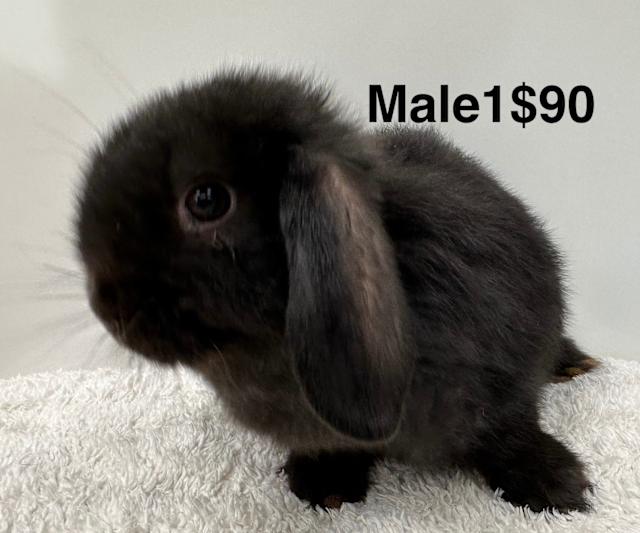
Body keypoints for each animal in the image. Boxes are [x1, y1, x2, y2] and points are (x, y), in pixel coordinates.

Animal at [75, 68, 598, 512]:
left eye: (207, 200)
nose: (104, 307)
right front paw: (324, 486)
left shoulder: (505, 379)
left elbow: (511, 431)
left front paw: (557, 487)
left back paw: (574, 364)